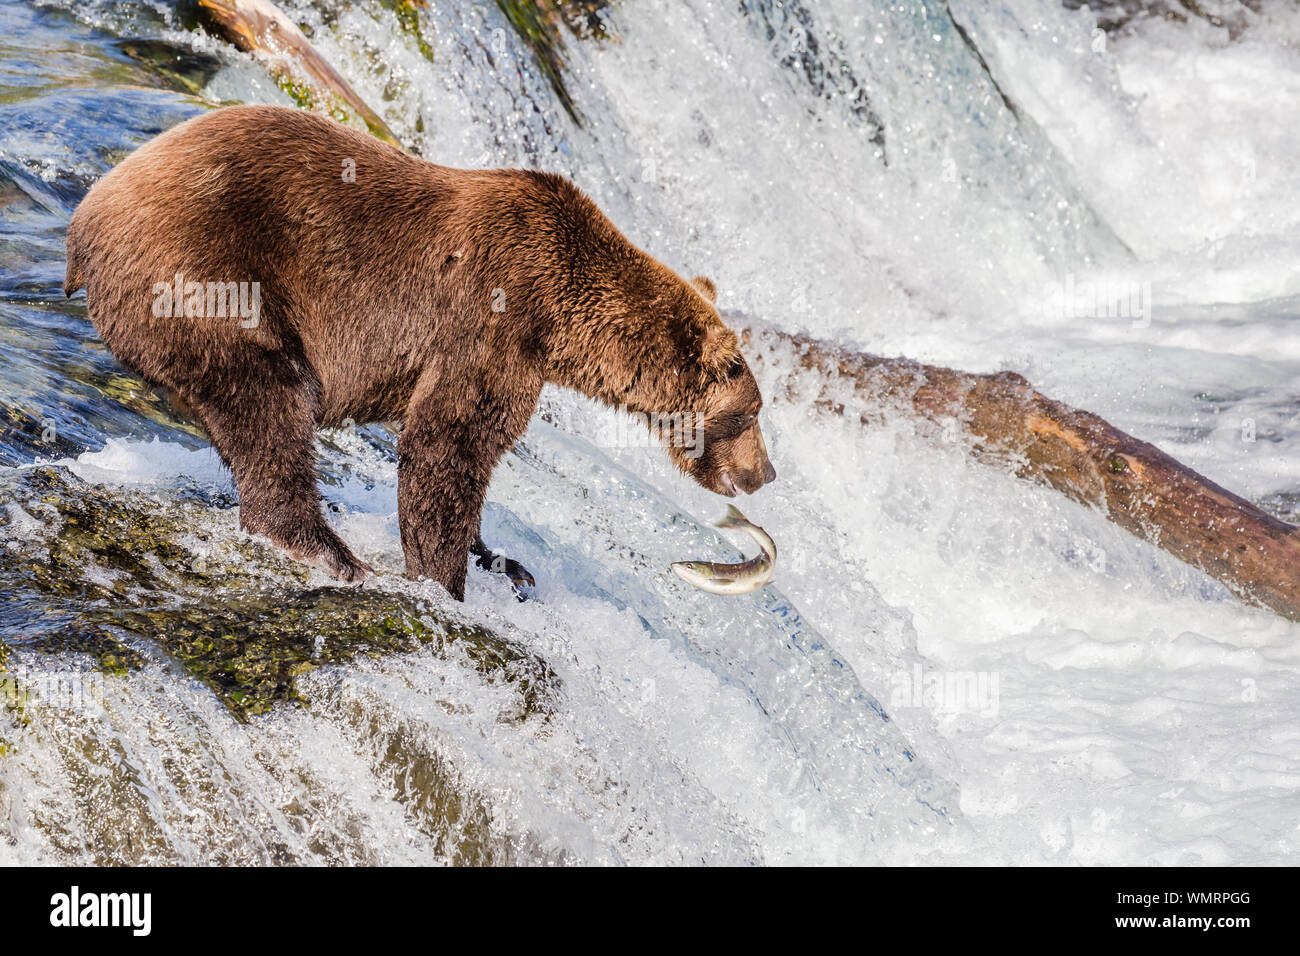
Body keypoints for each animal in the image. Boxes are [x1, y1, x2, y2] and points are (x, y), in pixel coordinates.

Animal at [64, 105, 776, 600]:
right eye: (750, 412)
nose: (766, 473)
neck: (565, 322)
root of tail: (85, 217)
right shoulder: (492, 320)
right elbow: (448, 446)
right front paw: (445, 582)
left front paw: (501, 559)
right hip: (207, 273)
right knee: (270, 402)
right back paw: (328, 551)